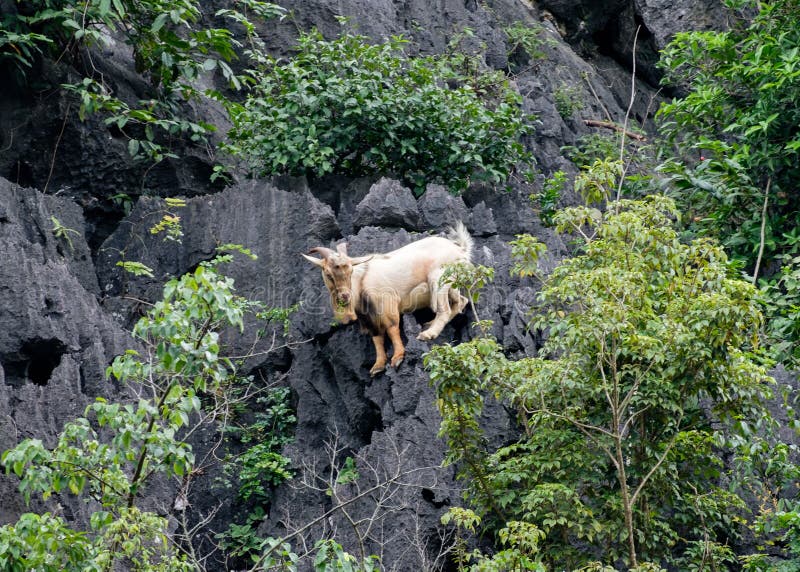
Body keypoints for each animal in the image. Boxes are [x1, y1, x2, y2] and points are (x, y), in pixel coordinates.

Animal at [302, 223, 473, 376]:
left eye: (350, 271)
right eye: (328, 274)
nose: (345, 296)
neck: (362, 281)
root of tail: (461, 249)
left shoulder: (388, 303)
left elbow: (392, 329)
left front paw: (398, 358)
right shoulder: (369, 318)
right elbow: (377, 338)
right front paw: (377, 366)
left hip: (439, 280)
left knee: (445, 309)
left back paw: (428, 334)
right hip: (453, 285)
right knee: (461, 301)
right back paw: (429, 324)